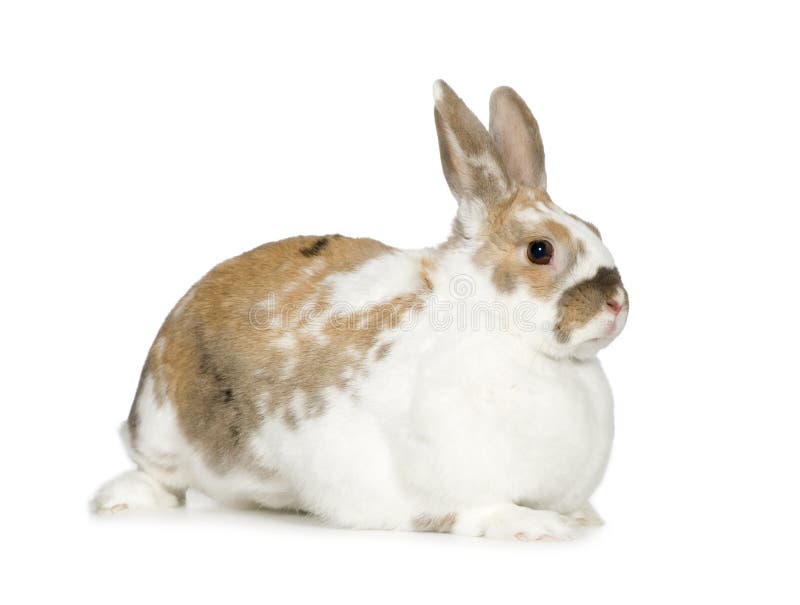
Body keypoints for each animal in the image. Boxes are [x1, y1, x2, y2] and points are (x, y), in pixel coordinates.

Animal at [92, 80, 628, 540]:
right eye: (540, 250)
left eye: (595, 227)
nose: (618, 303)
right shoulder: (452, 487)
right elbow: (481, 510)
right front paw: (534, 525)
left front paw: (583, 517)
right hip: (163, 426)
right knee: (158, 474)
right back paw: (118, 501)